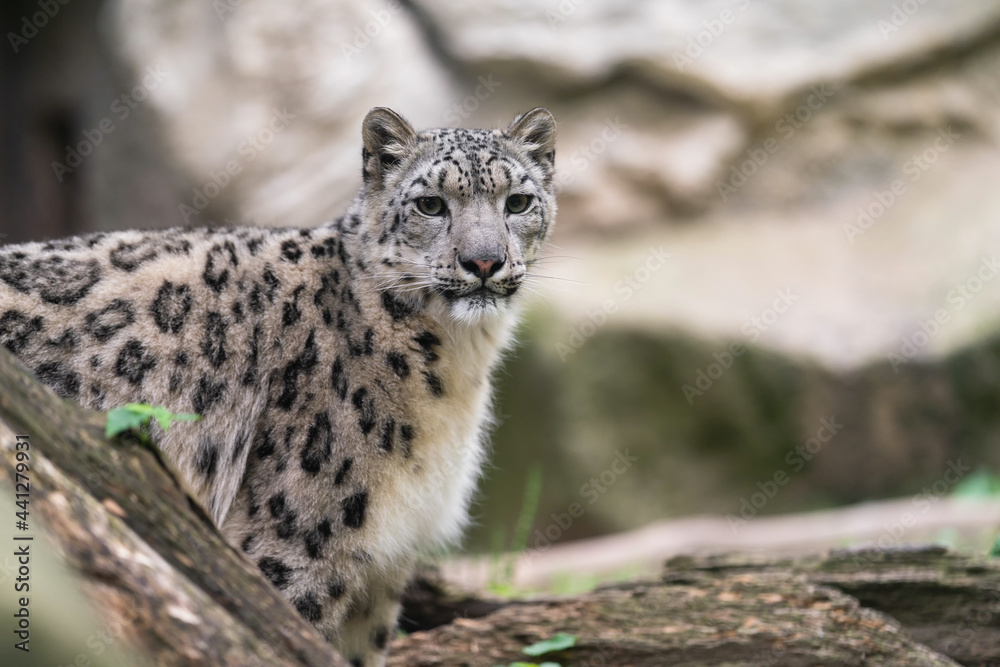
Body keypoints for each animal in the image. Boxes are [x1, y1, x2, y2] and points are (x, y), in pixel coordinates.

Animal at [0, 107, 557, 666]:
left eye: (518, 202)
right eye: (430, 204)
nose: (484, 262)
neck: (457, 366)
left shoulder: (385, 567)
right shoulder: (298, 544)